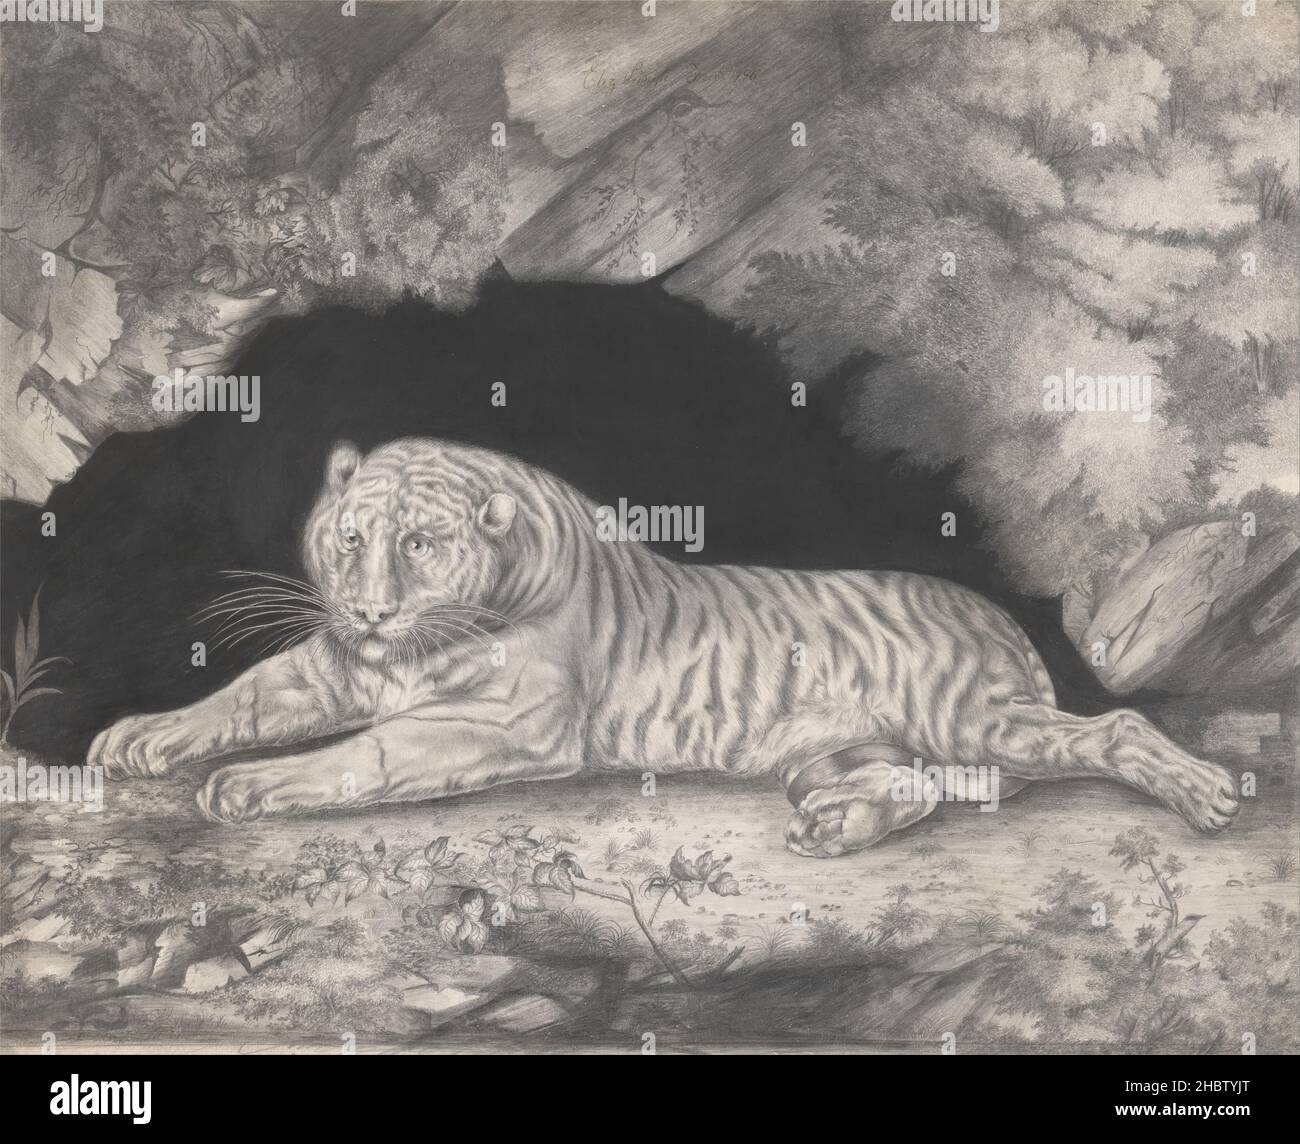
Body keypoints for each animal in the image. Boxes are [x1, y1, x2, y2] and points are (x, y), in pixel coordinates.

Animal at [89, 437, 1240, 857]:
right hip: (841, 746)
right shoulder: (337, 663)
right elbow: (243, 693)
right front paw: (138, 737)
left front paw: (249, 786)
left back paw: (1209, 796)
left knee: (1111, 729)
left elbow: (361, 757)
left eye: (419, 543)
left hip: (976, 714)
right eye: (349, 539)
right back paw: (835, 825)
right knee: (916, 786)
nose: (370, 611)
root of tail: (1001, 615)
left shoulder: (503, 723)